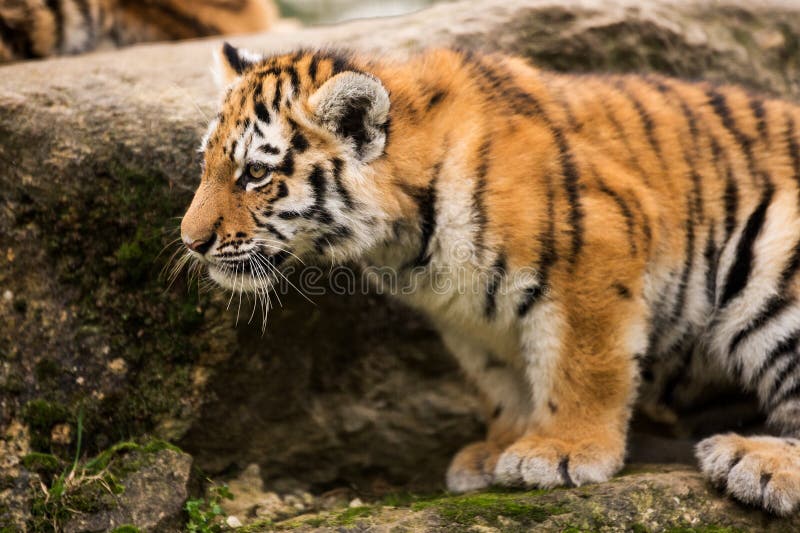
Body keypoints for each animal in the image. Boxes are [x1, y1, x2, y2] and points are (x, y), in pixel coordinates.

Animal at [179, 42, 800, 515]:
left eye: (255, 173)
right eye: (207, 165)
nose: (190, 241)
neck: (405, 238)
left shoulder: (598, 249)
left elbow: (584, 365)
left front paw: (563, 450)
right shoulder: (468, 315)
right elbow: (503, 382)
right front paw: (497, 450)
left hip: (774, 271)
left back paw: (757, 461)